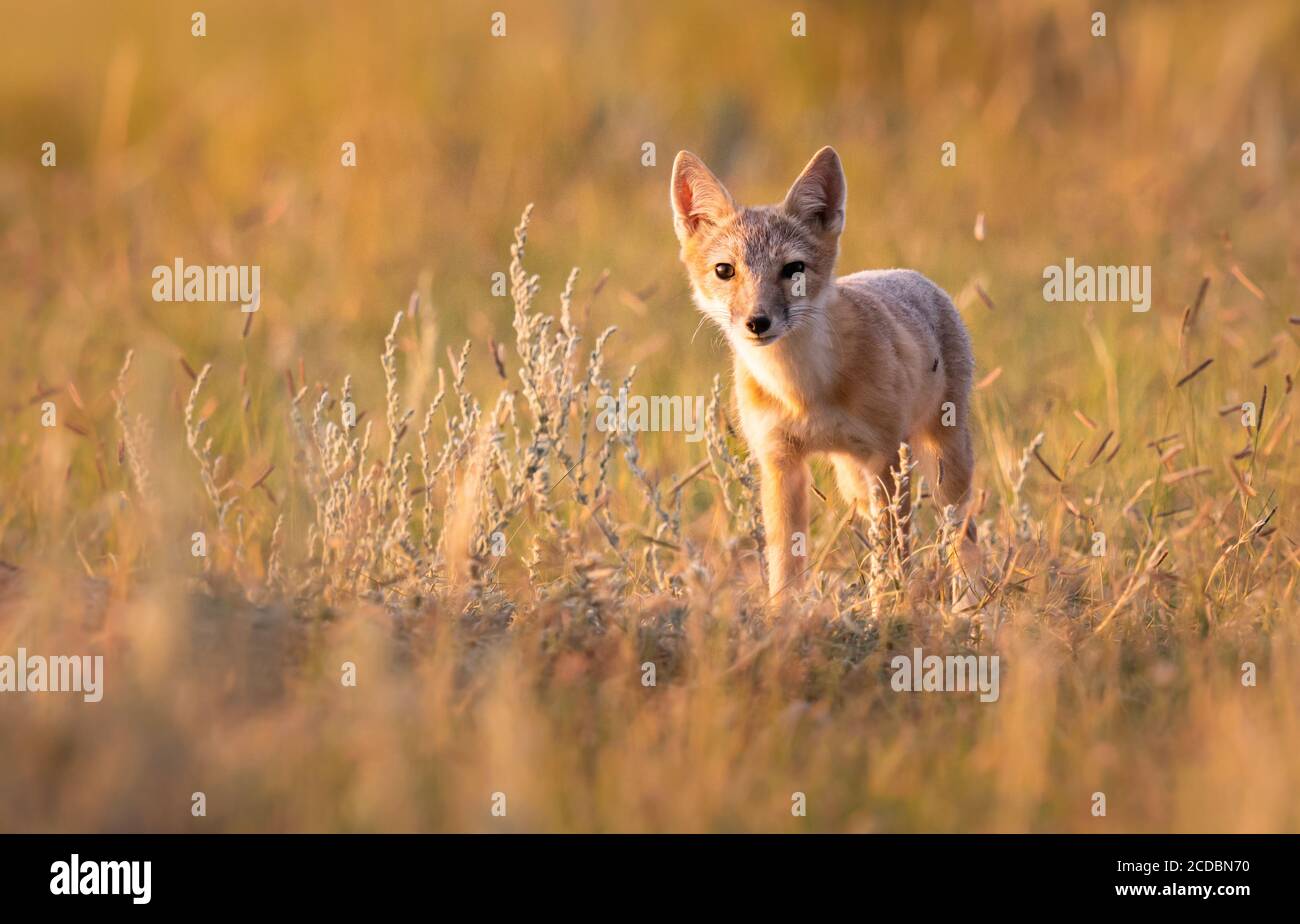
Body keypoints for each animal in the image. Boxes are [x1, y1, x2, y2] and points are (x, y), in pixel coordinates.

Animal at [670, 146, 978, 601]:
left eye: (793, 269)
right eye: (725, 270)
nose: (757, 322)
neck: (802, 391)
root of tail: (905, 273)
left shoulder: (885, 458)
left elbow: (894, 561)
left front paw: (892, 609)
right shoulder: (780, 463)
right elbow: (785, 566)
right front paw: (782, 614)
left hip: (940, 468)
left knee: (962, 533)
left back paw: (970, 601)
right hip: (855, 484)